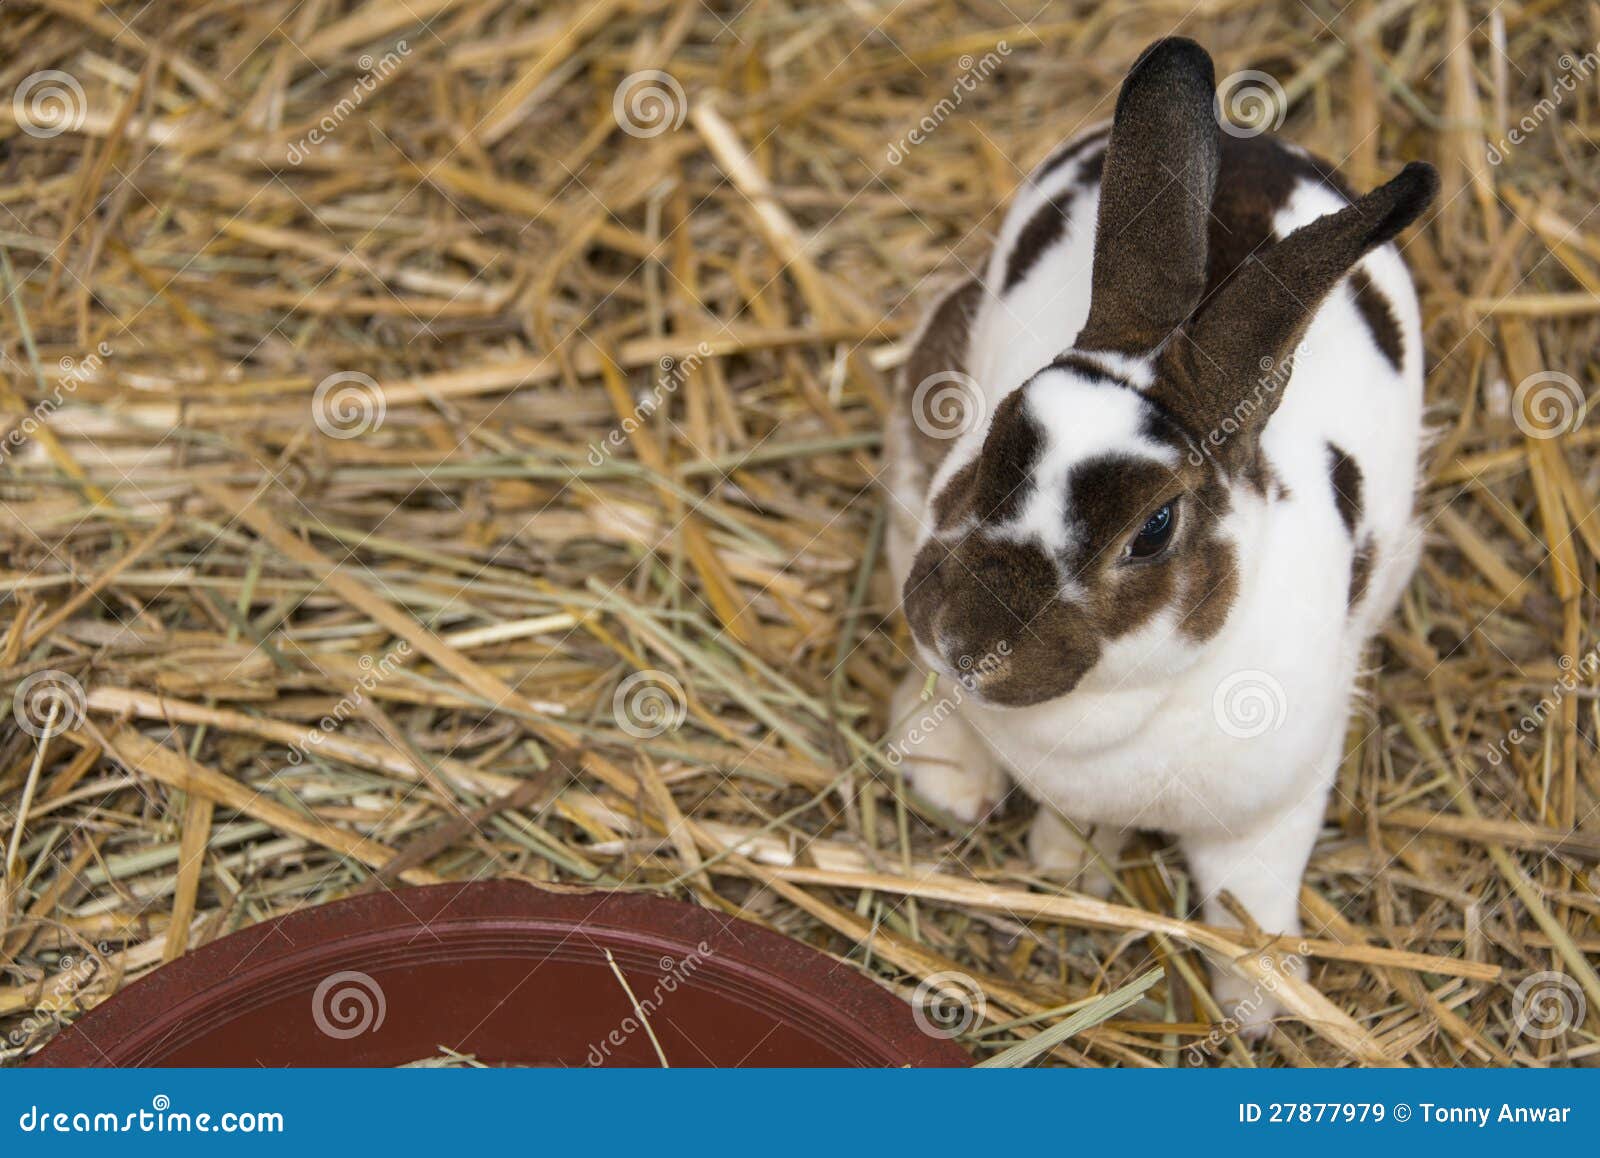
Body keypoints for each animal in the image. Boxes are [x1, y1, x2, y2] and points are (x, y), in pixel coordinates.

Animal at [883, 37, 1436, 1033]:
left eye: (1154, 528)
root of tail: (1253, 141)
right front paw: (1040, 844)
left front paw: (1258, 1007)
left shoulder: (1272, 811)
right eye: (999, 431)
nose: (963, 638)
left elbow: (1247, 902)